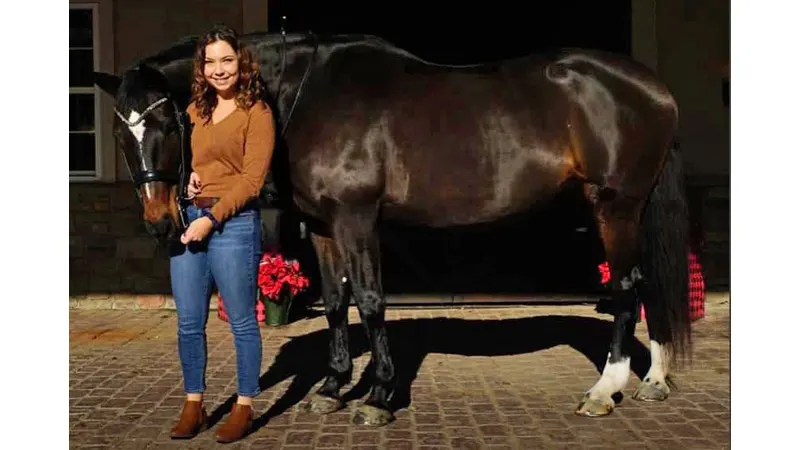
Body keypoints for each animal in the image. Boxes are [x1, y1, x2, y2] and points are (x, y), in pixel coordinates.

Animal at [94, 31, 692, 426]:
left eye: (169, 123)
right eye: (122, 134)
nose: (160, 223)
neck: (307, 93)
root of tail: (656, 89)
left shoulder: (356, 218)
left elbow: (371, 300)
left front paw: (379, 397)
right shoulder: (323, 225)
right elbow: (336, 302)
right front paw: (332, 388)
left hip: (615, 206)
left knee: (625, 289)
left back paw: (605, 390)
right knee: (648, 286)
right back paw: (654, 381)